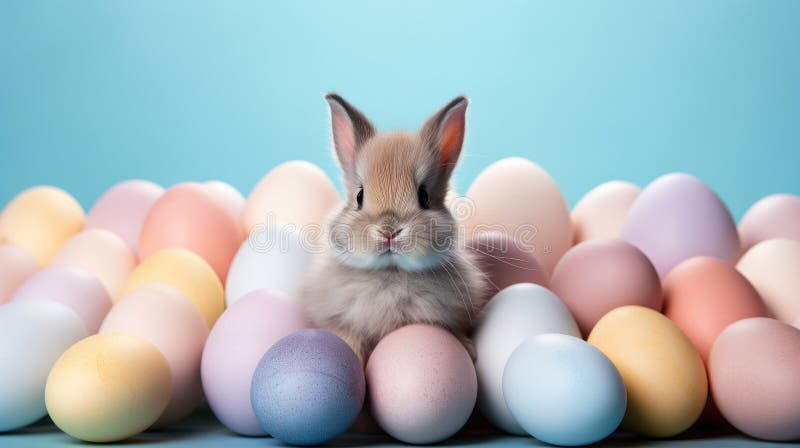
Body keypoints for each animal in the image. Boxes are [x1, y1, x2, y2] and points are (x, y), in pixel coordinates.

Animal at [298, 93, 488, 366]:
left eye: (424, 196)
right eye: (359, 196)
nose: (389, 231)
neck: (390, 272)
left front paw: (468, 351)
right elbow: (349, 337)